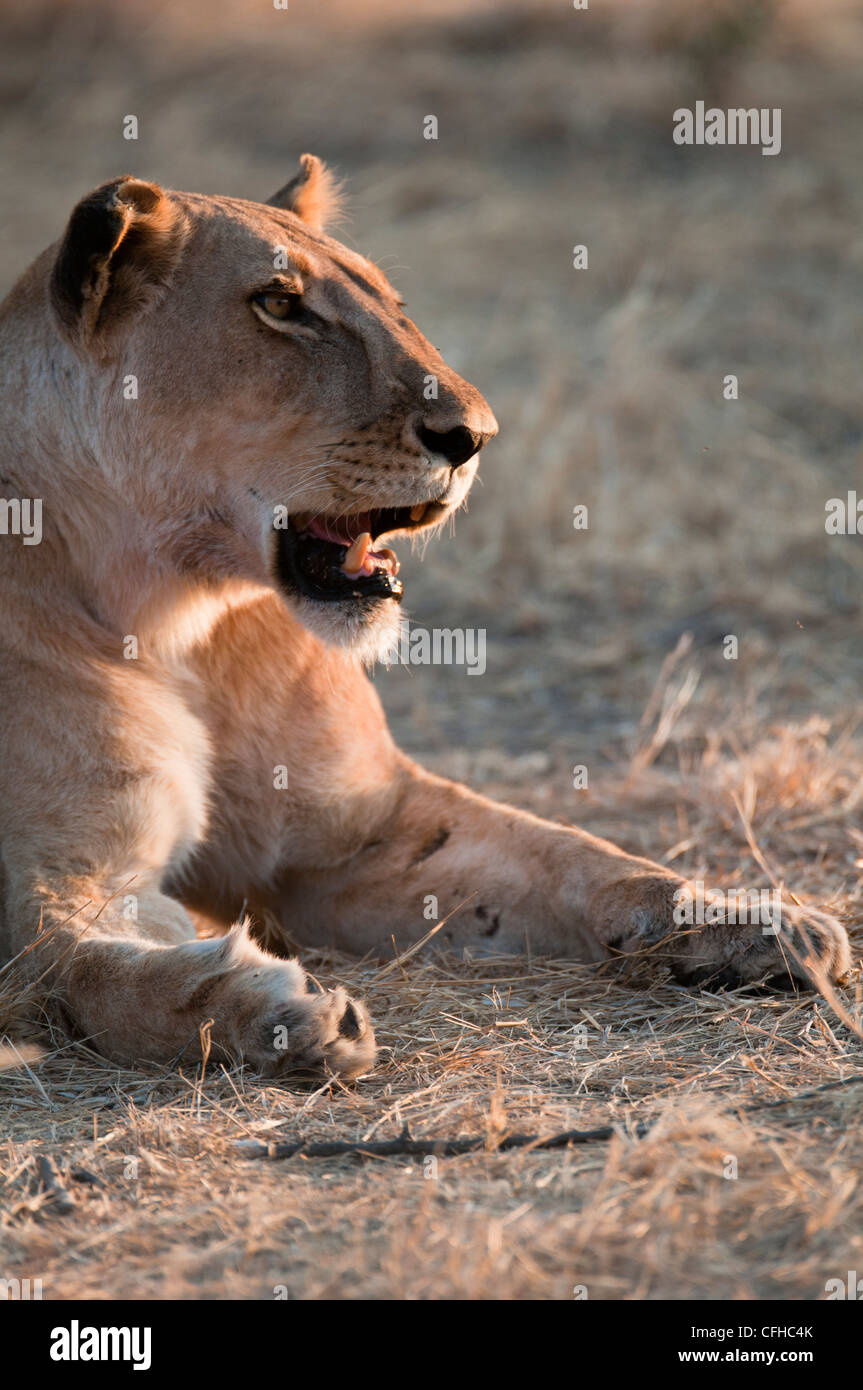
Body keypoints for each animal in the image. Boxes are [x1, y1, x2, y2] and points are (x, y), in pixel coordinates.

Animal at [0, 158, 850, 1080]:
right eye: (279, 304)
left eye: (392, 304)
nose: (475, 436)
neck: (184, 620)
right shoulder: (61, 880)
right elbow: (91, 976)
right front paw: (272, 1012)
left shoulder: (366, 834)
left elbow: (569, 854)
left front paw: (750, 919)